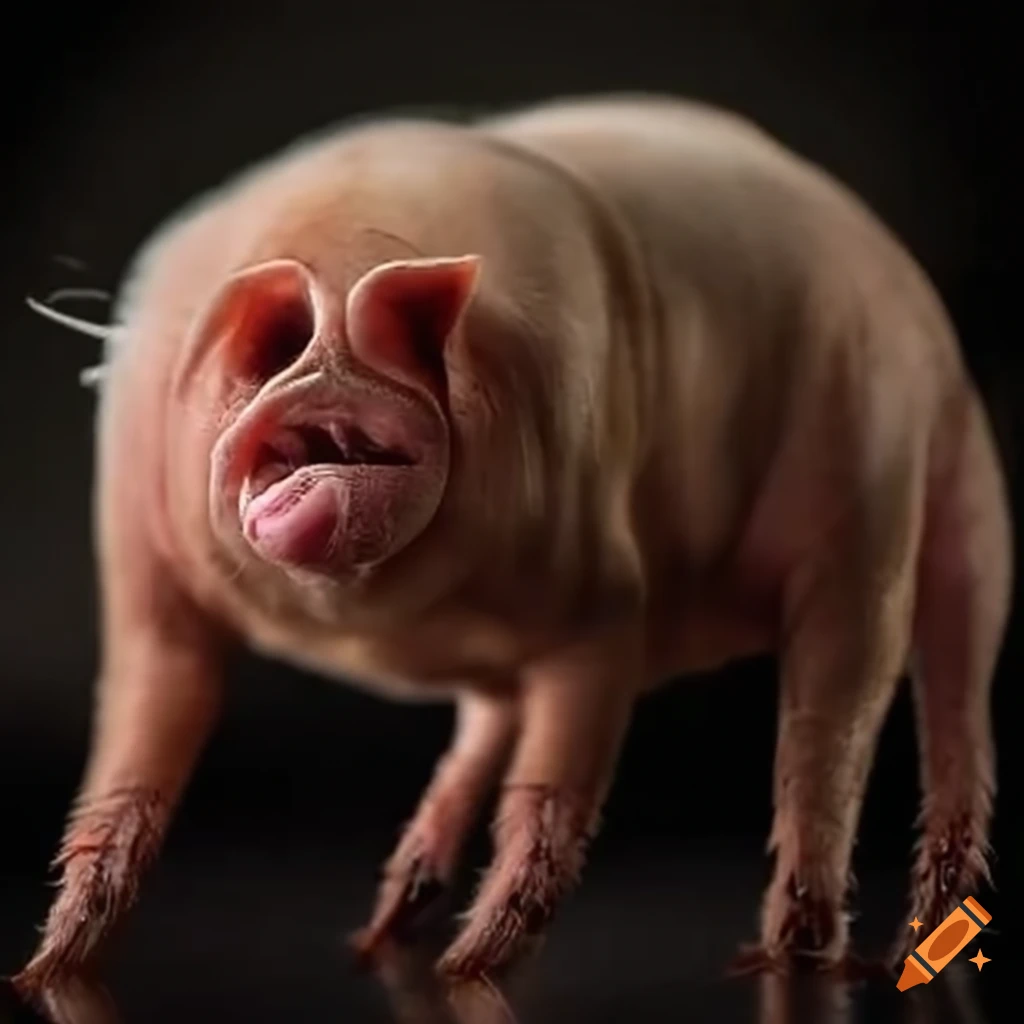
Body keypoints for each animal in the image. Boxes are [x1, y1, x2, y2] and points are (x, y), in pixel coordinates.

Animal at [14, 93, 1012, 996]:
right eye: (283, 343)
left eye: (402, 339)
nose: (332, 384)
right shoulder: (141, 567)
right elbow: (137, 751)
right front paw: (43, 969)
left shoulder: (606, 589)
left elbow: (556, 784)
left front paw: (470, 968)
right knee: (493, 720)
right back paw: (384, 928)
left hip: (887, 475)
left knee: (875, 693)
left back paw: (823, 952)